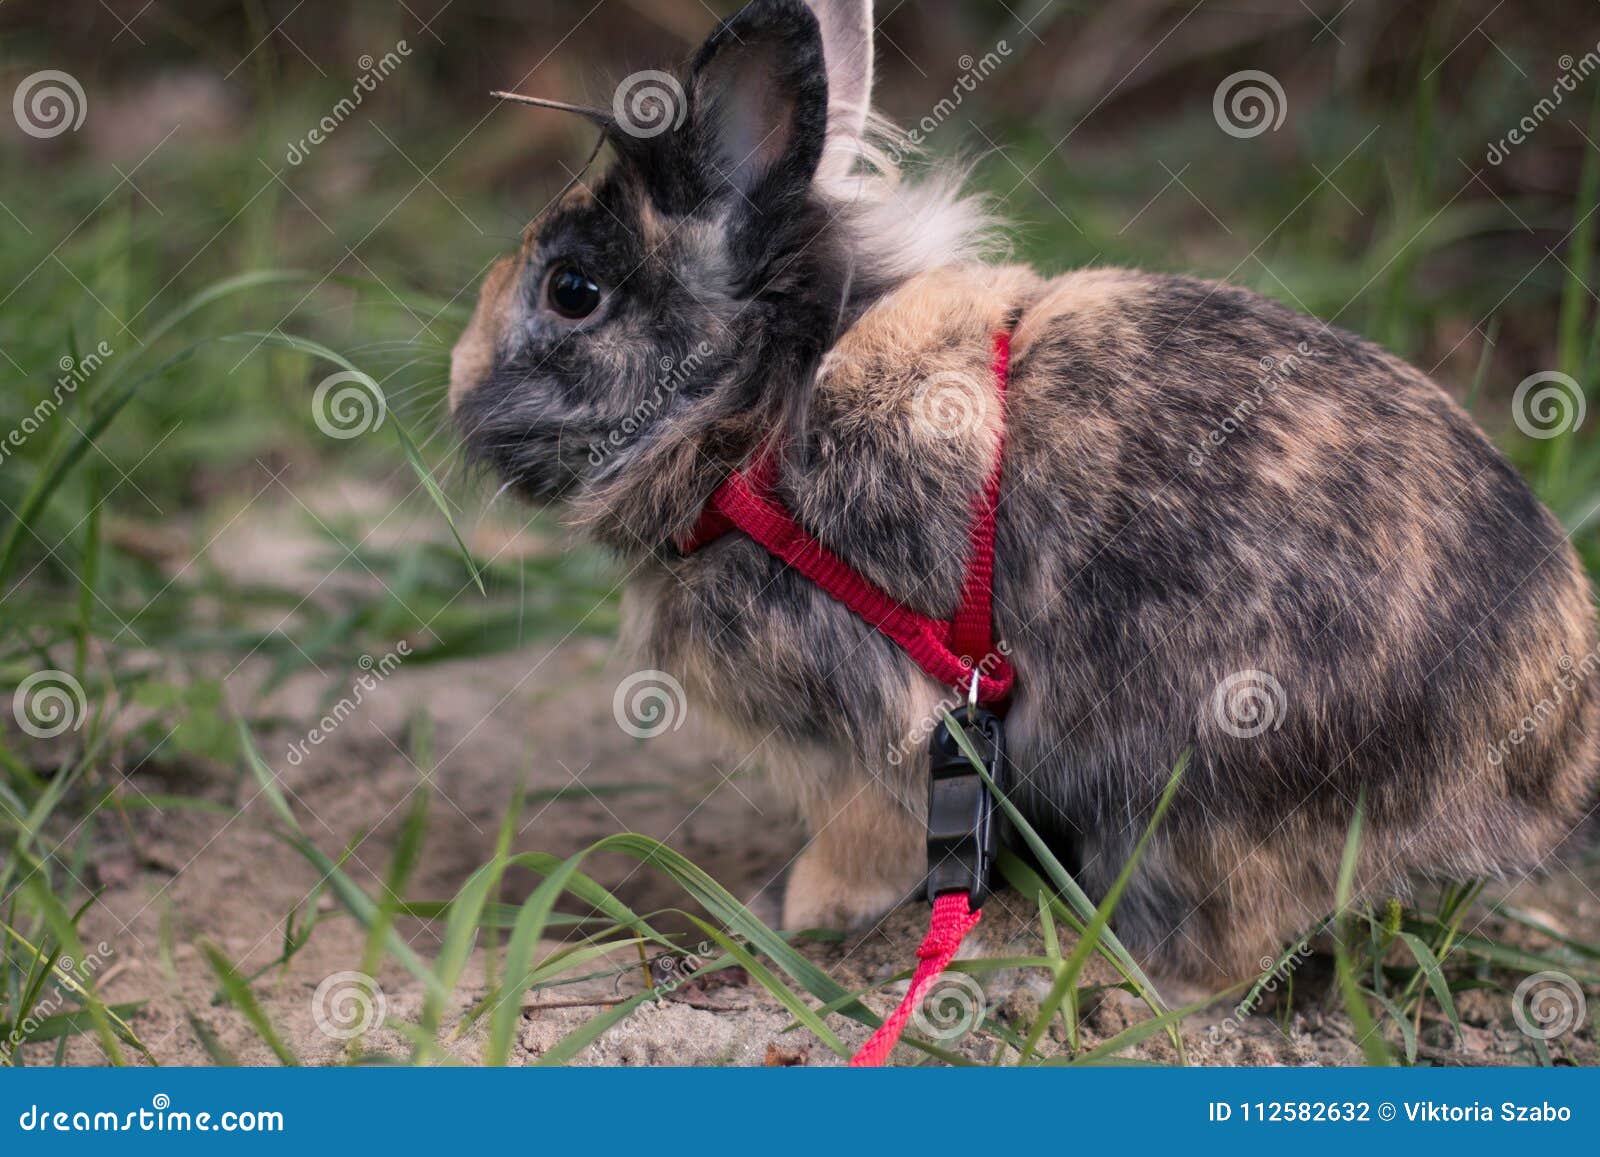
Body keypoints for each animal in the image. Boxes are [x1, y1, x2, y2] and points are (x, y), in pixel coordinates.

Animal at [450, 0, 1599, 983]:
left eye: (573, 292)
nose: (457, 395)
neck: (753, 419)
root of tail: (1540, 760)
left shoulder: (864, 727)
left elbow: (856, 842)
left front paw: (800, 912)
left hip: (1205, 793)